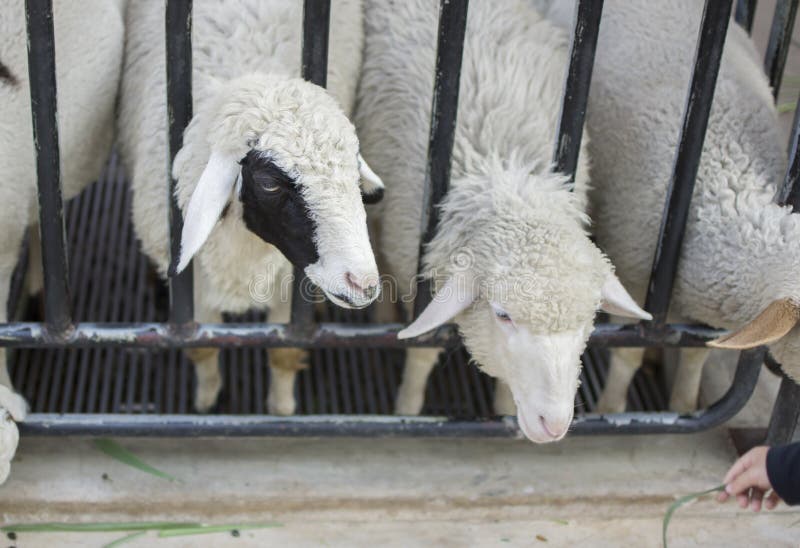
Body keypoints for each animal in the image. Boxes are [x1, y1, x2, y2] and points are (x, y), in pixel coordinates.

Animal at [117, 0, 384, 415]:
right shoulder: (196, 286)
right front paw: (206, 404)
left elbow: (284, 353)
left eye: (354, 170)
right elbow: (202, 348)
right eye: (269, 182)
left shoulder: (288, 283)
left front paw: (281, 410)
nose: (363, 284)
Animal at [355, 0, 650, 443]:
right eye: (503, 315)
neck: (506, 175)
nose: (554, 424)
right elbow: (422, 352)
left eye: (590, 319)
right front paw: (406, 409)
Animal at [543, 0, 795, 413]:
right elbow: (627, 351)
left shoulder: (707, 306)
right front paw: (610, 408)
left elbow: (695, 353)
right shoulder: (632, 272)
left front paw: (683, 405)